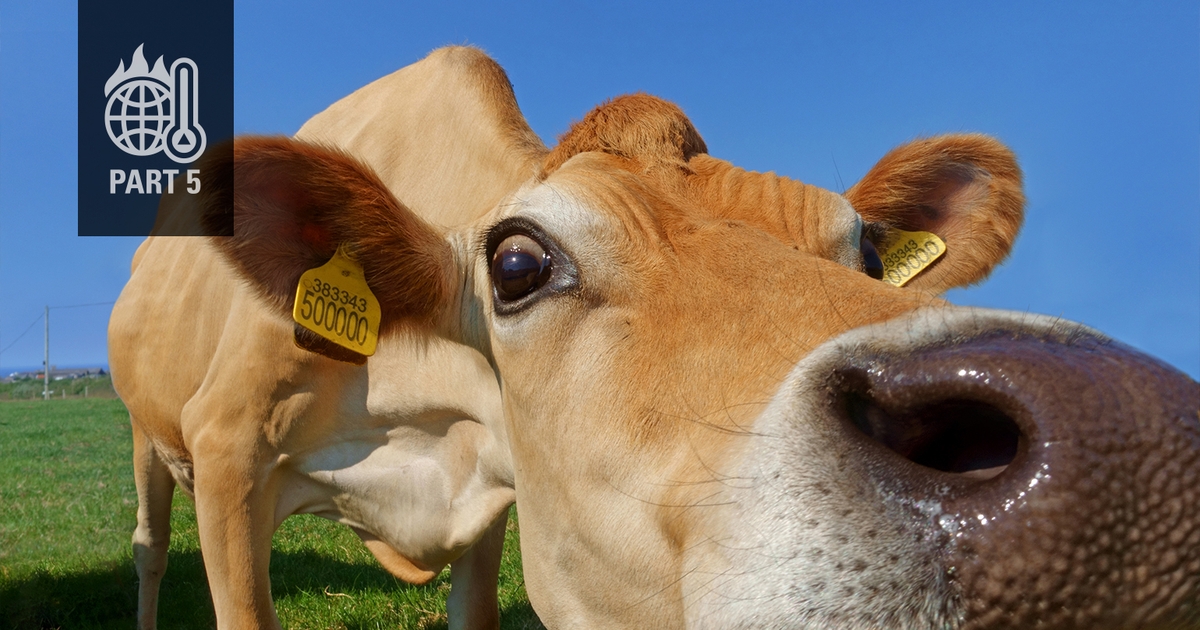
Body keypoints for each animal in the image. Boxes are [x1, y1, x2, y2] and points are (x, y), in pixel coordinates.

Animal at [109, 46, 1199, 629]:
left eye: (864, 247)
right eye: (517, 264)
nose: (1117, 444)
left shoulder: (496, 504)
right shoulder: (231, 452)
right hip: (148, 442)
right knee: (149, 549)